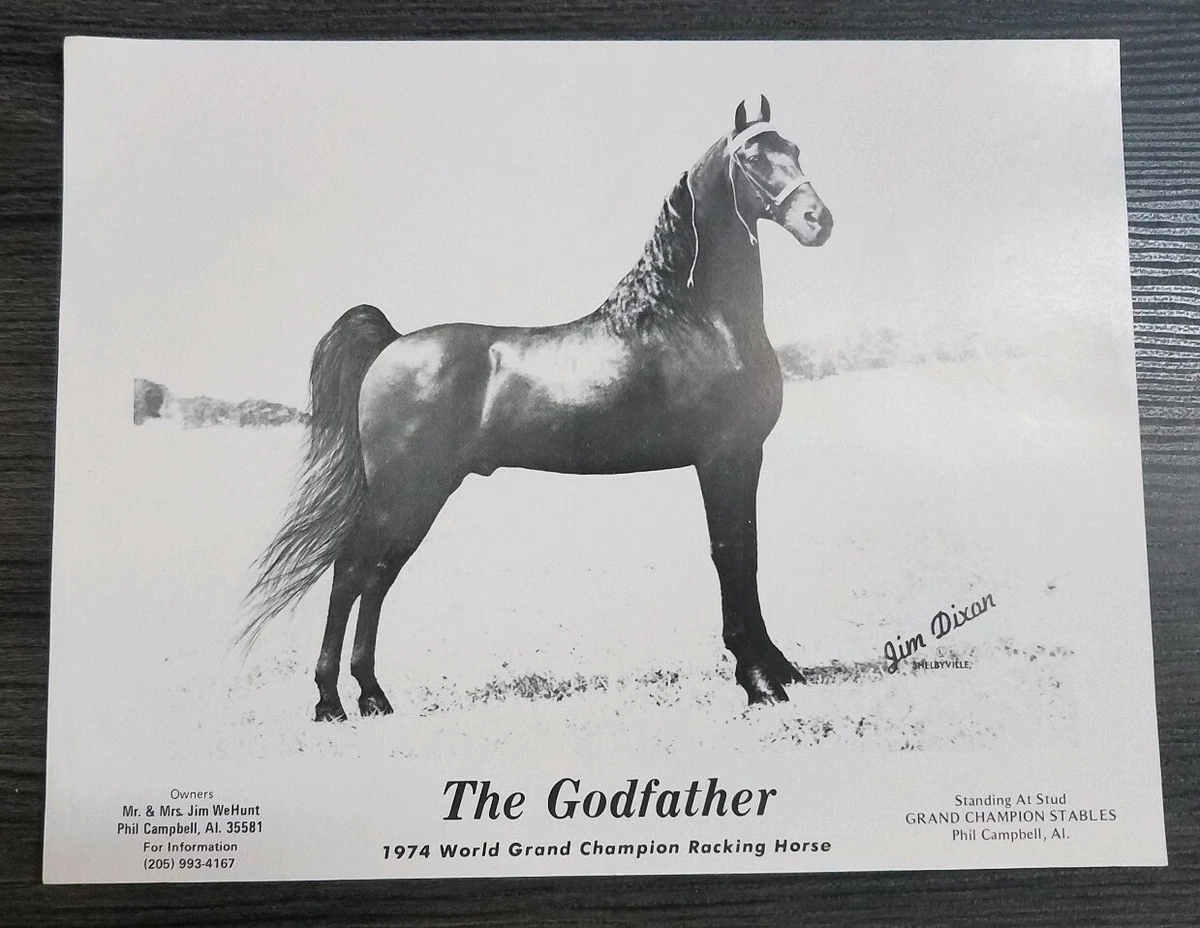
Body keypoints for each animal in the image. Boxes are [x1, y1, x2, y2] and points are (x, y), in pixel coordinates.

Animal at [243, 94, 833, 721]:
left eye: (794, 148)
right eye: (753, 157)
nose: (818, 221)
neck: (696, 319)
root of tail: (391, 344)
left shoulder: (746, 457)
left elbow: (748, 554)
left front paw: (777, 667)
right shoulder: (721, 458)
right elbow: (730, 555)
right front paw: (758, 681)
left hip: (418, 497)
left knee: (375, 577)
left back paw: (372, 696)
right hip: (403, 493)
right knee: (350, 572)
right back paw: (331, 701)